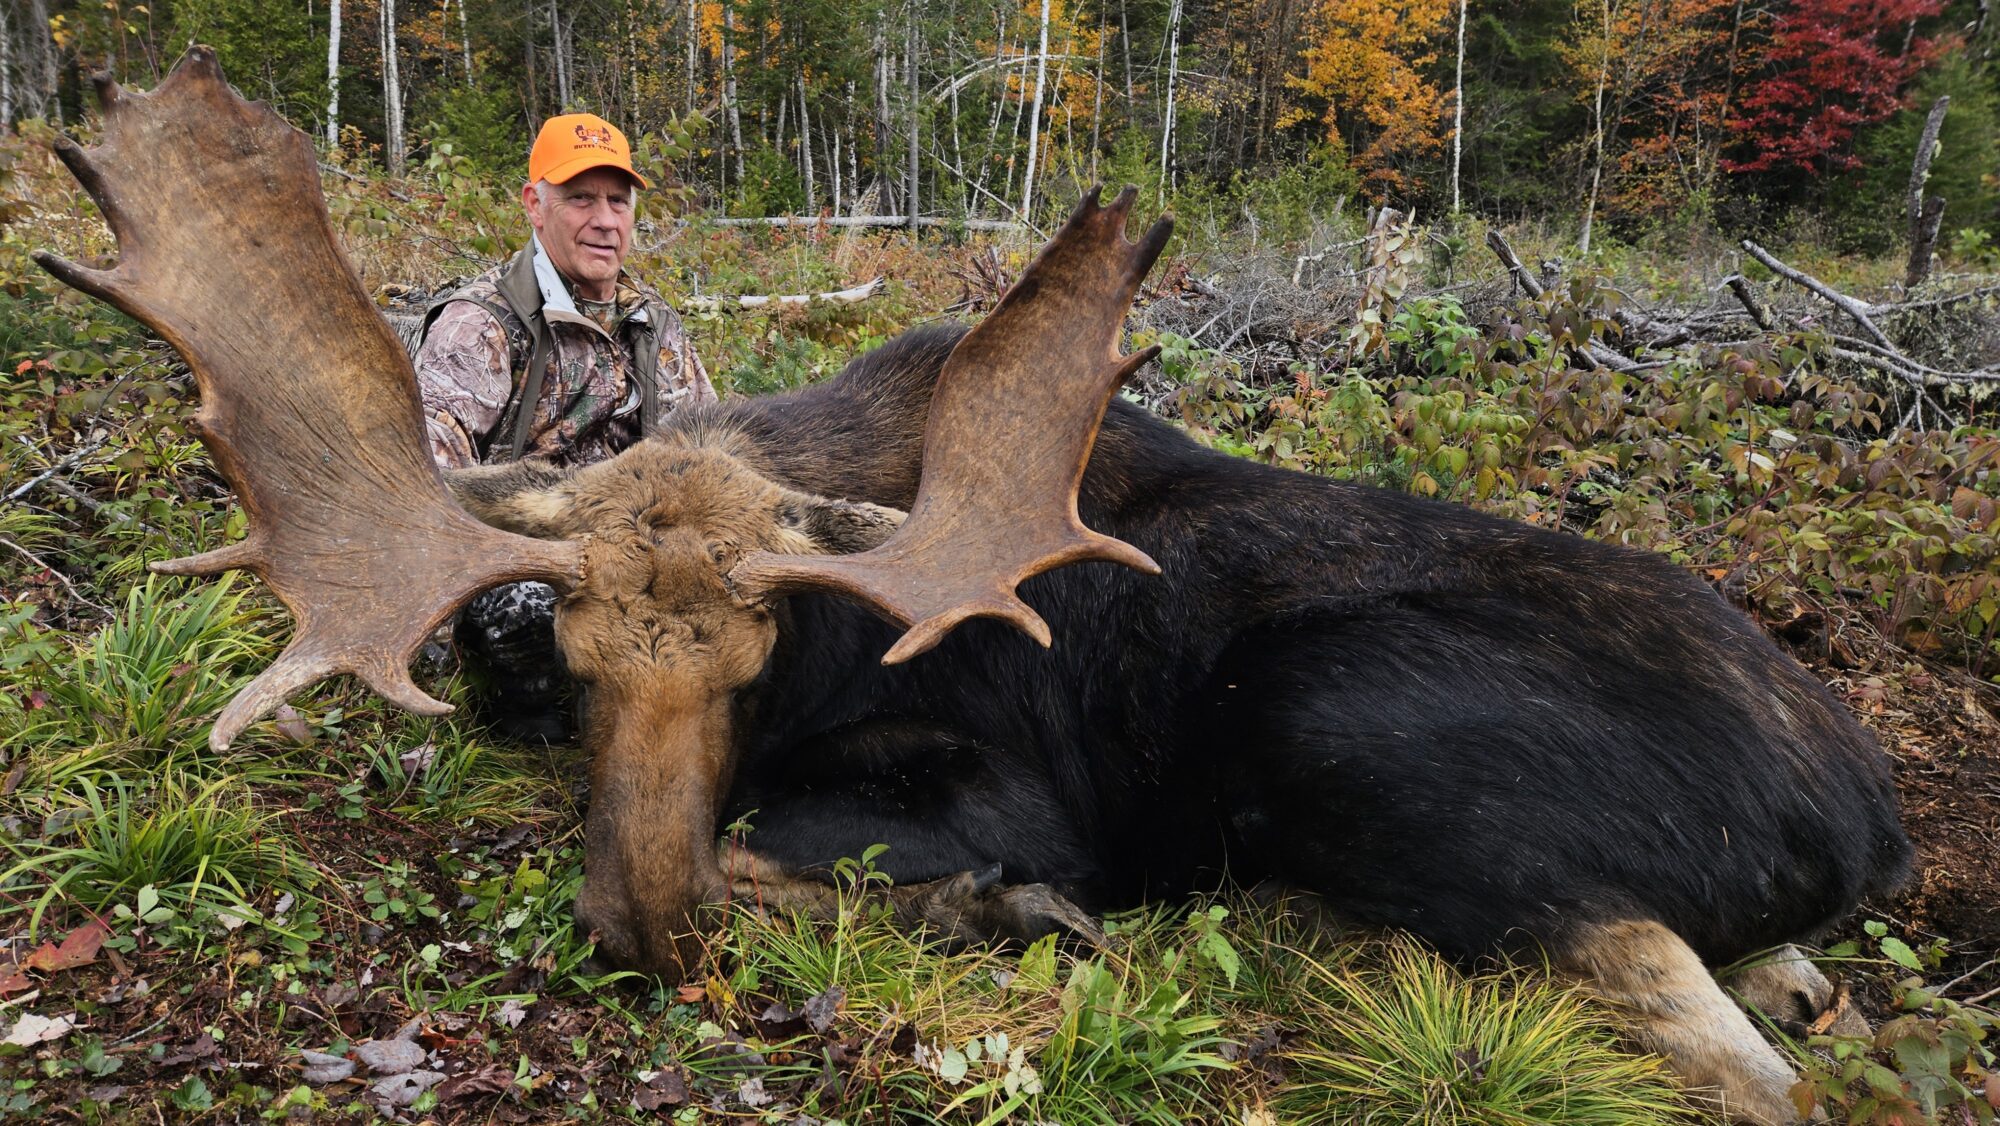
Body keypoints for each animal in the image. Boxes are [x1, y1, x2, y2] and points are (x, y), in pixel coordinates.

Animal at [41, 50, 1911, 1125]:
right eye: (571, 649)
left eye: (752, 657)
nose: (638, 922)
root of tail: (1870, 815)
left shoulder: (1009, 784)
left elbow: (788, 842)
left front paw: (1008, 907)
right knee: (1788, 999)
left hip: (1341, 719)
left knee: (1743, 1066)